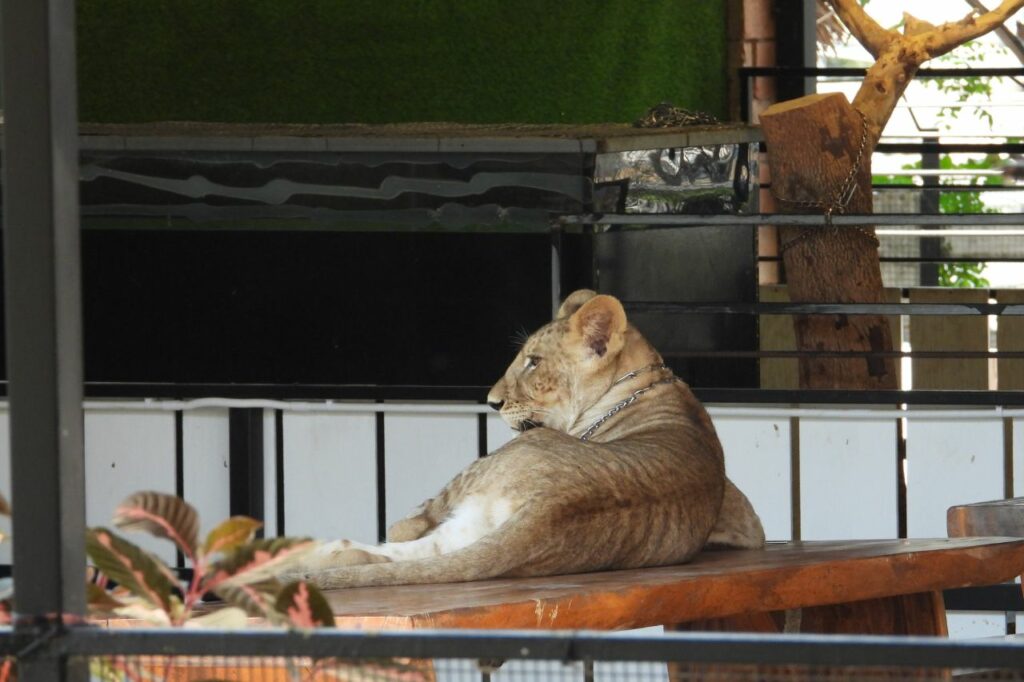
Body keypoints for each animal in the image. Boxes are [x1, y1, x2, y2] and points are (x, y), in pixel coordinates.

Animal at [287, 290, 764, 590]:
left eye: (533, 362)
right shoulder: (747, 523)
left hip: (490, 466)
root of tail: (552, 508)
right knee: (411, 557)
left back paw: (311, 553)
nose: (492, 402)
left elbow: (409, 520)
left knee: (400, 541)